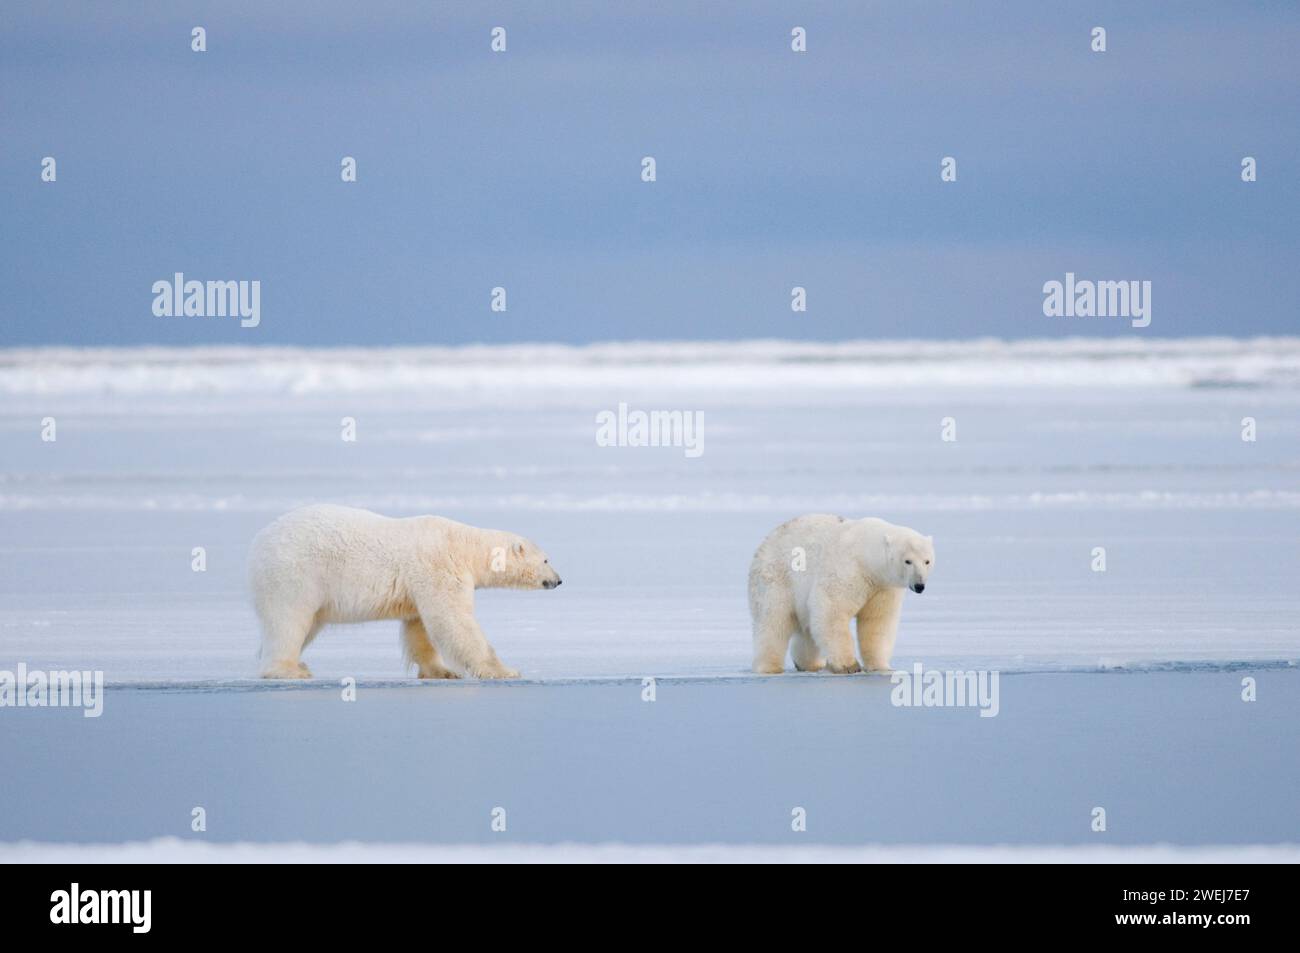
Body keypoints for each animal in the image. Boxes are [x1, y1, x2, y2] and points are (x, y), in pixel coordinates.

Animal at [248, 504, 561, 680]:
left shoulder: (419, 586)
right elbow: (455, 622)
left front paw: (442, 671)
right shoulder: (440, 568)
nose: (558, 580)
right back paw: (289, 669)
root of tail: (258, 543)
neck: (463, 546)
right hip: (296, 575)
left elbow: (419, 629)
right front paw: (505, 670)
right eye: (546, 560)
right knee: (289, 621)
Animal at [748, 514, 933, 674]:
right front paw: (850, 666)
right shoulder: (849, 569)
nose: (919, 585)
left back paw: (810, 664)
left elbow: (877, 622)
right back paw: (769, 667)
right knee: (774, 621)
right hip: (777, 579)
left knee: (806, 630)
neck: (867, 556)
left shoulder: (883, 587)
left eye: (927, 561)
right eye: (908, 561)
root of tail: (765, 542)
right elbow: (831, 610)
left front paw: (881, 666)